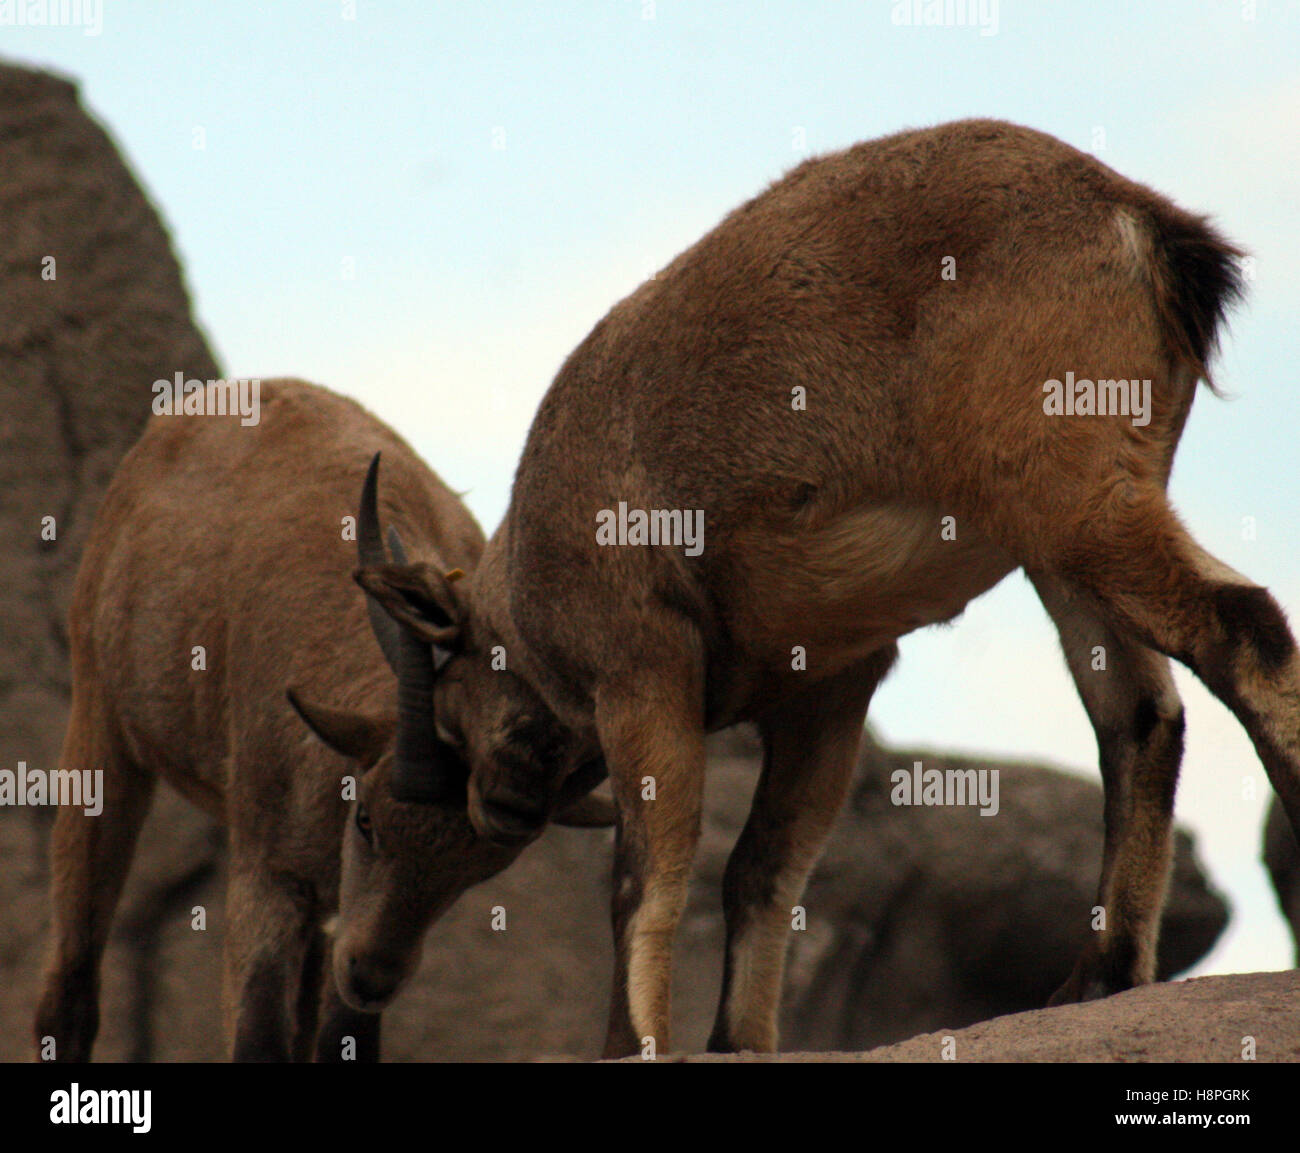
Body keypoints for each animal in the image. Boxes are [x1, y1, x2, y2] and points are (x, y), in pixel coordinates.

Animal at [33, 378, 610, 1062]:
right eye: (367, 819)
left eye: (478, 870)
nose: (372, 976)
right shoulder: (268, 869)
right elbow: (257, 1037)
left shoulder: (339, 908)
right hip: (102, 712)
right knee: (72, 975)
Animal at [357, 118, 1300, 1057]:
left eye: (447, 706)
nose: (500, 806)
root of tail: (1137, 220)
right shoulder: (833, 686)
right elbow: (761, 869)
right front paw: (736, 1037)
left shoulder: (641, 667)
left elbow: (644, 879)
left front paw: (637, 1042)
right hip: (1066, 533)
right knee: (1140, 716)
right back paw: (1098, 975)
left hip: (1072, 494)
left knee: (1242, 627)